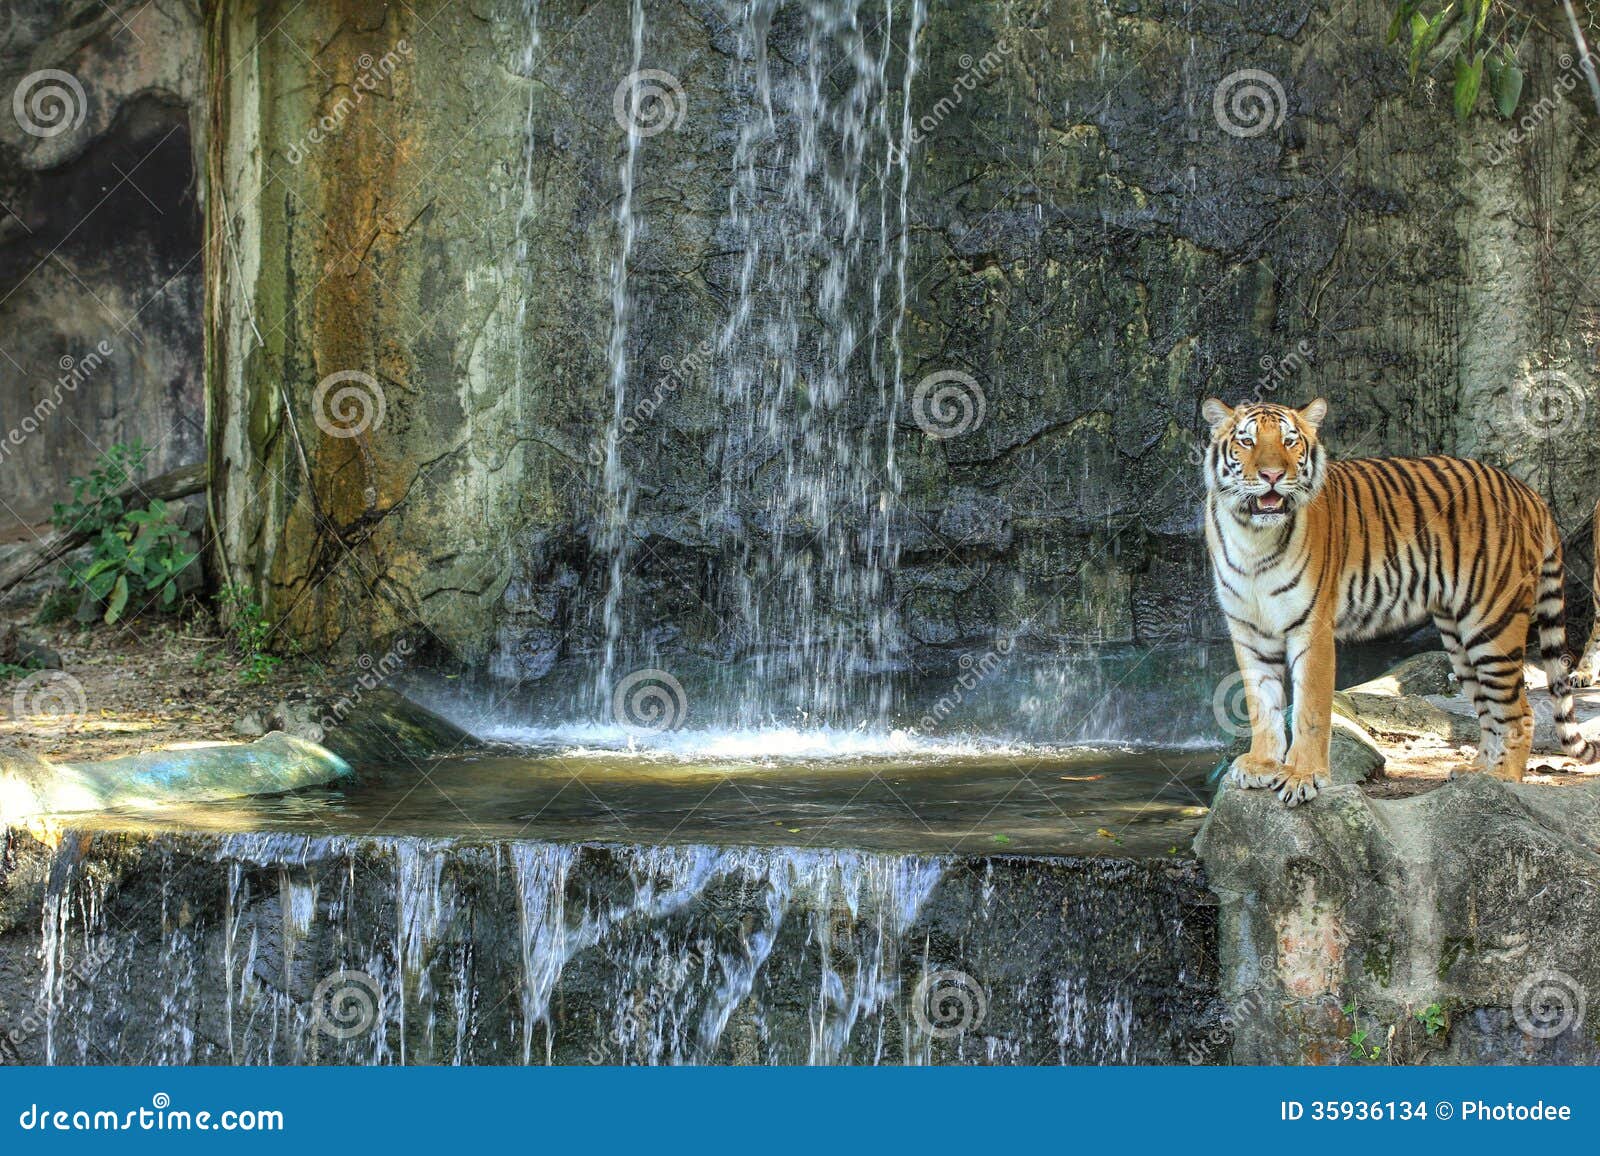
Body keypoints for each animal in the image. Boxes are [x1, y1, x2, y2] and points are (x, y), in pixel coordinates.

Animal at [1201, 397, 1598, 806]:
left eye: (1290, 441)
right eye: (1247, 441)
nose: (1272, 475)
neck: (1253, 539)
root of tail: (1526, 490)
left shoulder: (1312, 630)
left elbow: (1310, 710)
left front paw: (1302, 776)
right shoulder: (1249, 631)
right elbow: (1260, 704)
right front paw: (1261, 765)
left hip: (1492, 624)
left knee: (1518, 711)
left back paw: (1503, 779)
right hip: (1459, 636)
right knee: (1490, 712)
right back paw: (1478, 773)